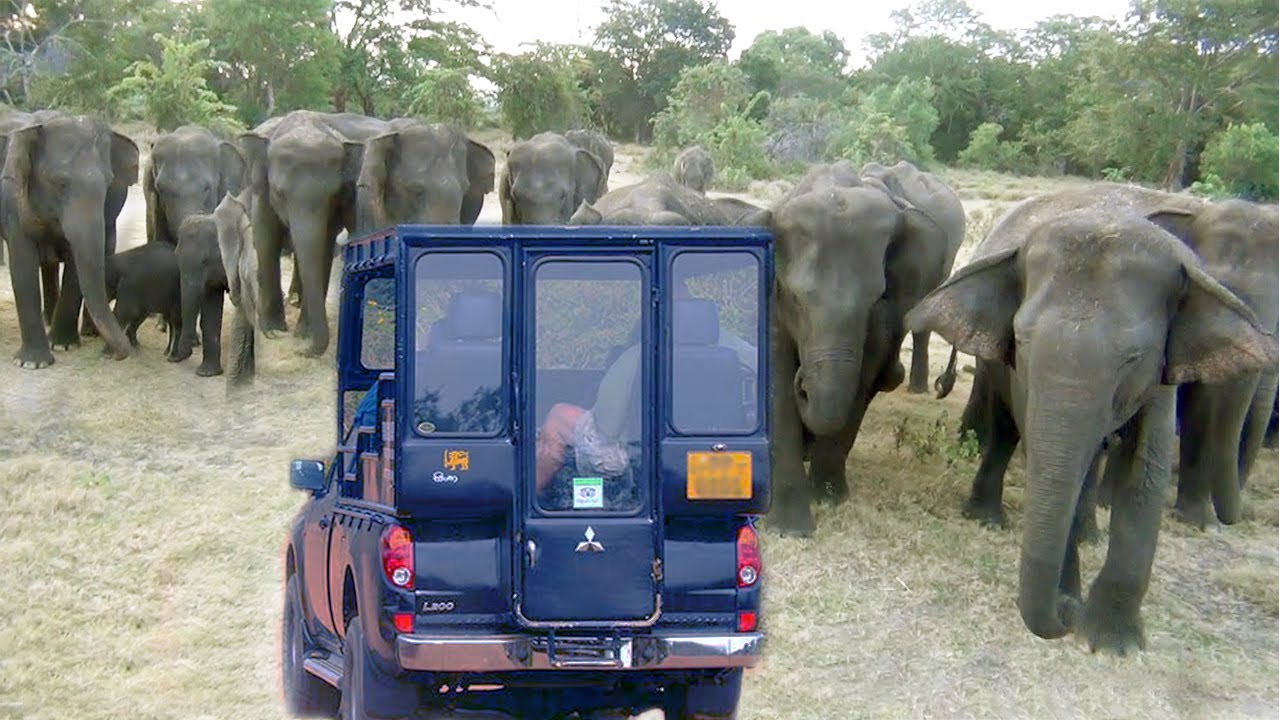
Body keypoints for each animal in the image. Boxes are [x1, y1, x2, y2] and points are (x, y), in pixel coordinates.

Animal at [0, 113, 138, 367]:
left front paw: (63, 345)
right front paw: (32, 363)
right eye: (60, 183)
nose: (114, 354)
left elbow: (76, 267)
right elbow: (23, 262)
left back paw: (84, 331)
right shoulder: (12, 199)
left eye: (108, 184)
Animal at [239, 110, 389, 357]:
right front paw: (273, 330)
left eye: (333, 194)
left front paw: (302, 334)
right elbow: (266, 238)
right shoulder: (261, 188)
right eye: (279, 193)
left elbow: (324, 246)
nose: (302, 351)